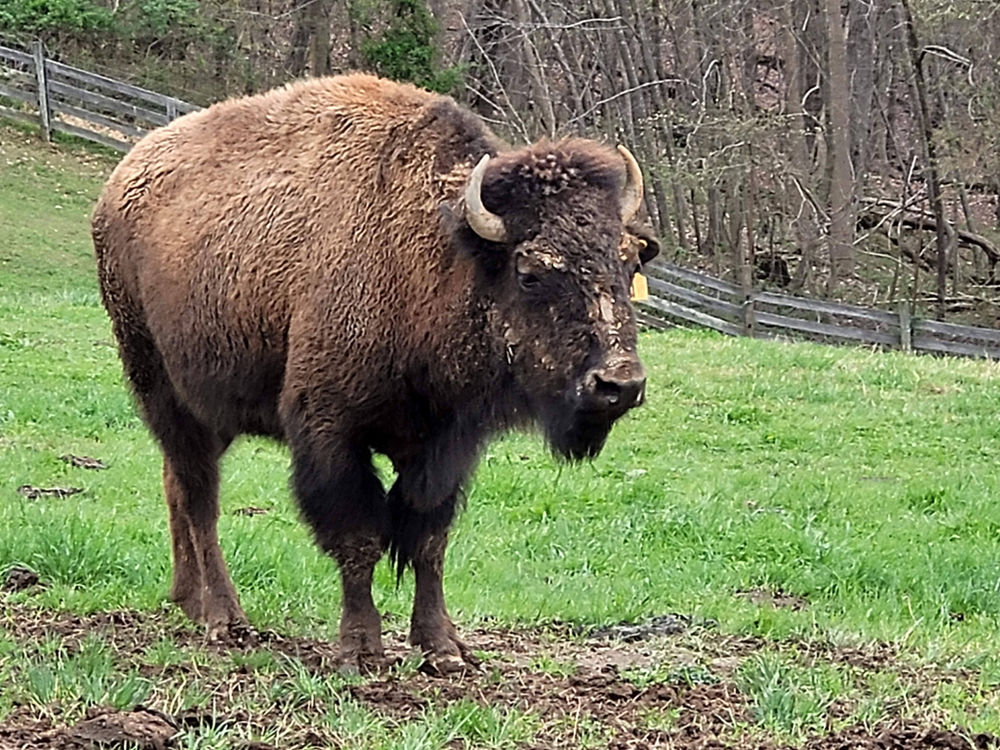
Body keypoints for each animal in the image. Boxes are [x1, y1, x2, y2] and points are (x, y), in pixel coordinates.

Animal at [92, 73, 659, 673]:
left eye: (629, 261)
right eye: (530, 272)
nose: (619, 384)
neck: (436, 255)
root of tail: (119, 184)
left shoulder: (445, 446)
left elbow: (429, 540)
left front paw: (443, 648)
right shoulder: (331, 434)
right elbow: (359, 536)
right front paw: (361, 649)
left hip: (211, 411)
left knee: (178, 484)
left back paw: (189, 602)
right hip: (162, 391)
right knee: (200, 498)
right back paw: (226, 618)